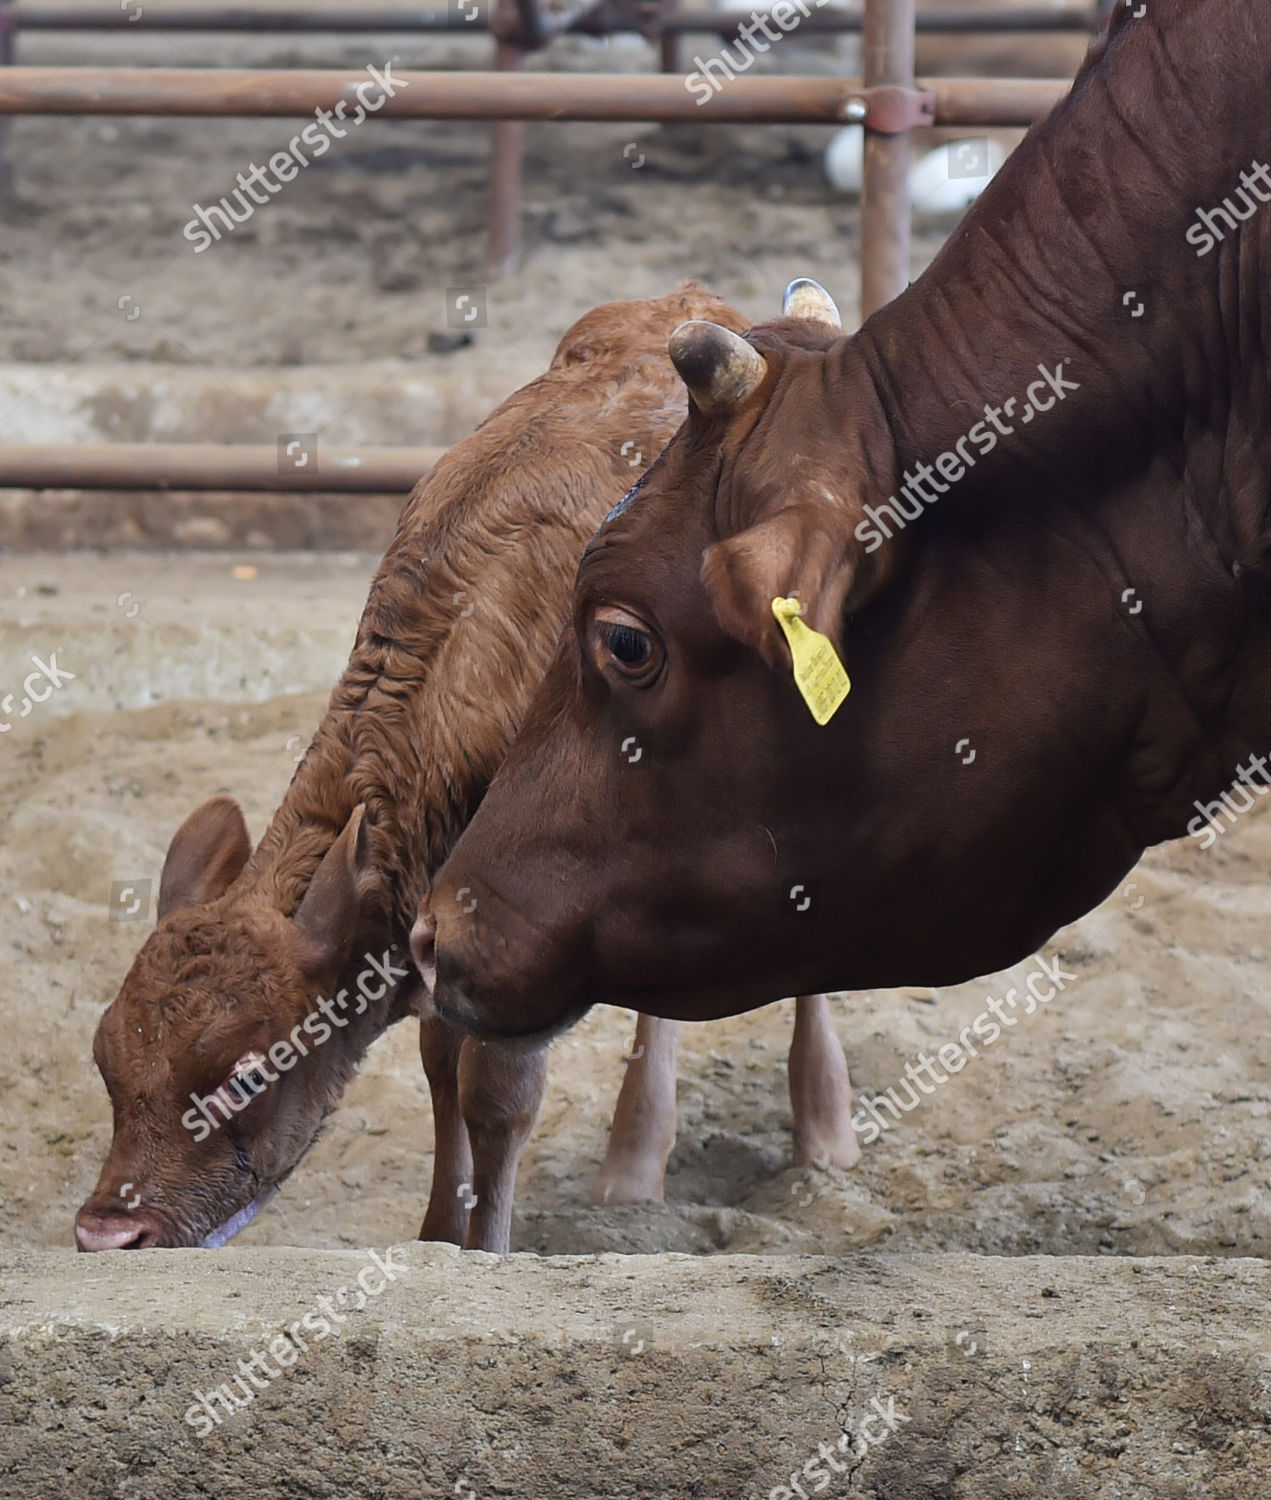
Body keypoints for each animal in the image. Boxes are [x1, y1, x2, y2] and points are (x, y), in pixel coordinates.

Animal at [76, 286, 858, 1254]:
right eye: (106, 1057)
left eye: (245, 1075)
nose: (106, 1232)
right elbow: (442, 1067)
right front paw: (439, 1234)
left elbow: (497, 1094)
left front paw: (485, 1249)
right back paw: (633, 1161)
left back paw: (823, 1130)